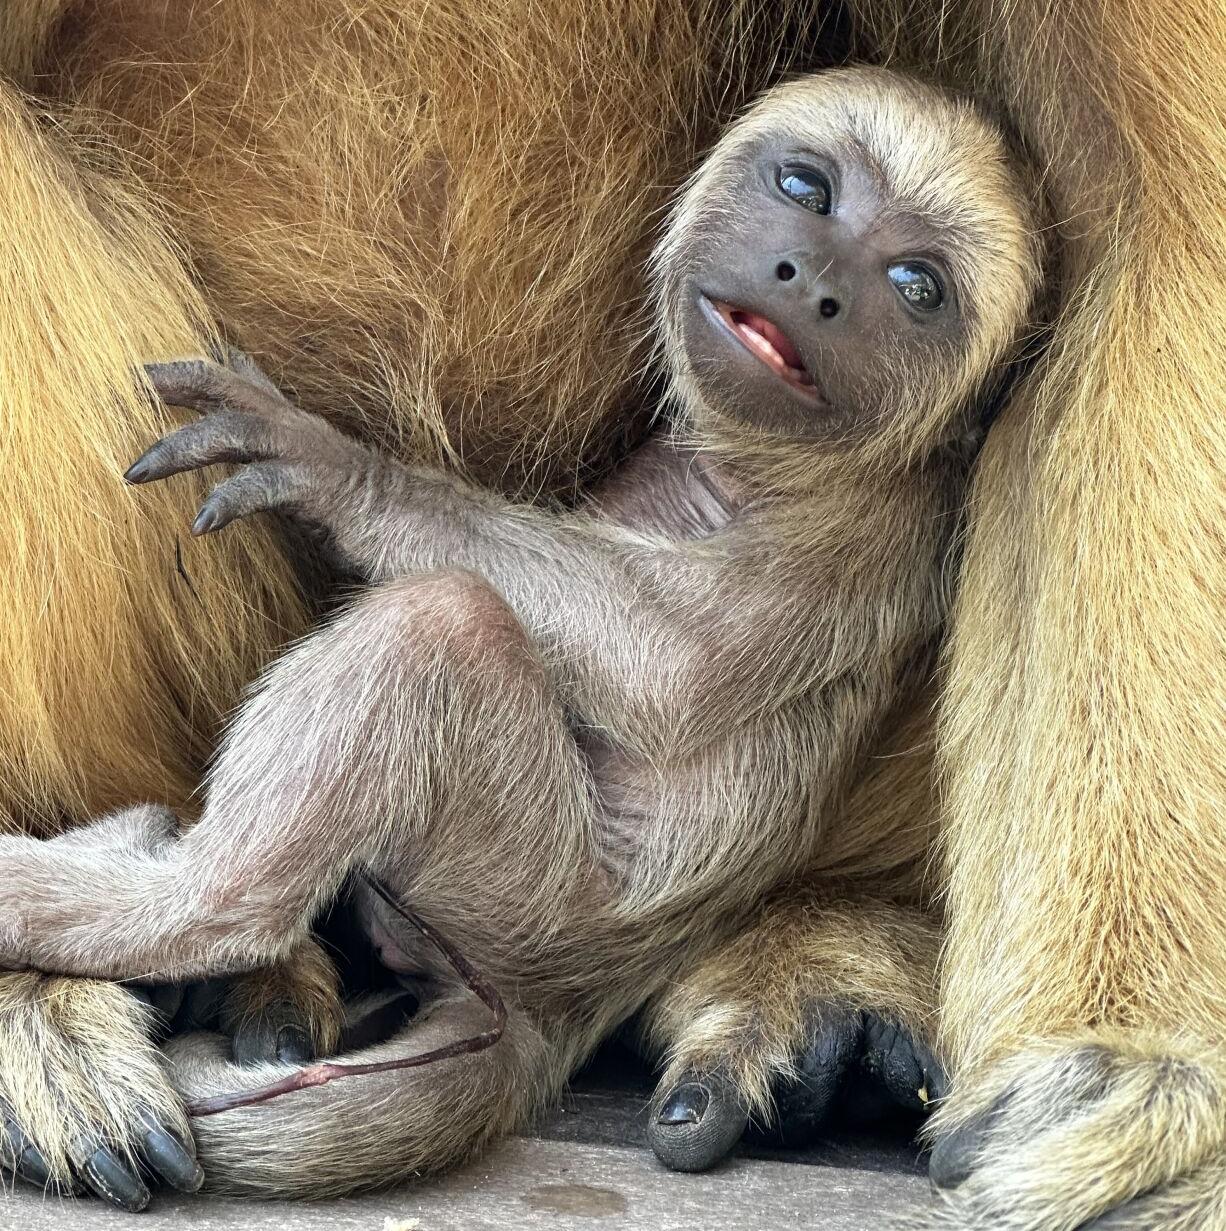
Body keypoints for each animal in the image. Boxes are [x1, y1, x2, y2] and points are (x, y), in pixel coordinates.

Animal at [0, 2, 1220, 1226]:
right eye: (807, 187)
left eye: (915, 284)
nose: (815, 283)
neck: (738, 459)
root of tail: (554, 1006)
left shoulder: (857, 525)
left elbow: (674, 669)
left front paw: (345, 477)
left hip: (525, 882)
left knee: (441, 633)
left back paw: (181, 912)